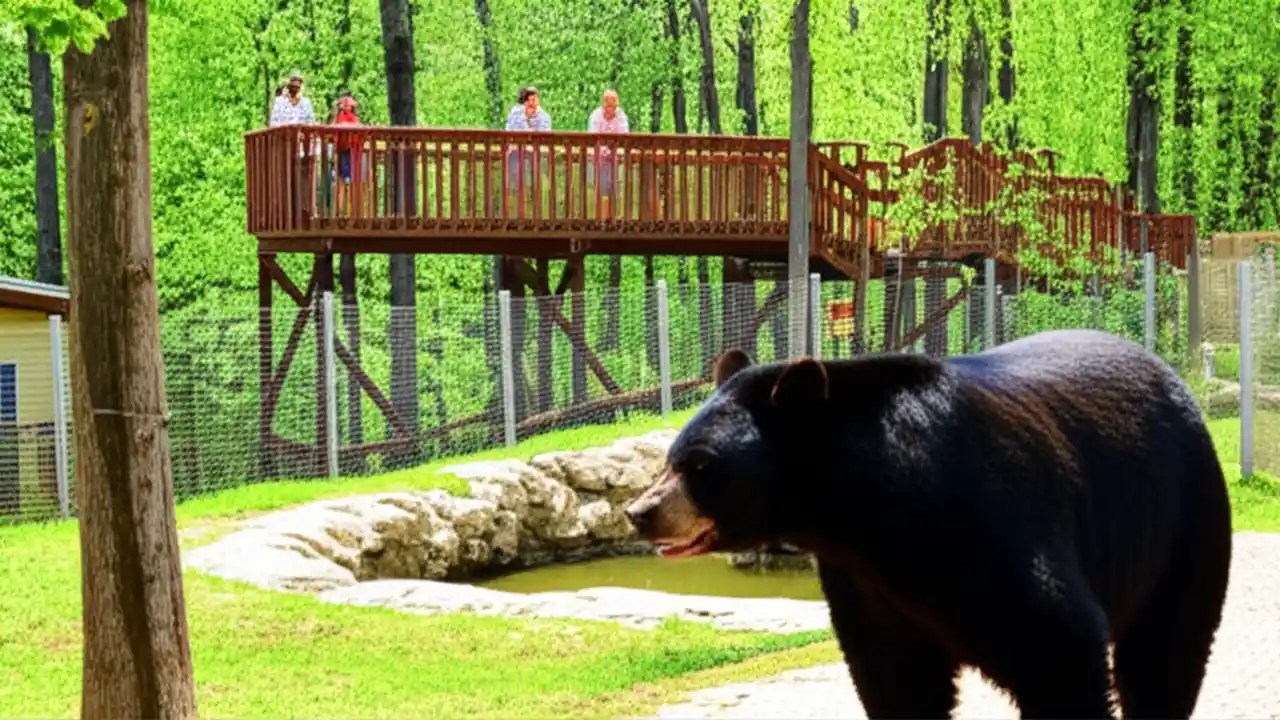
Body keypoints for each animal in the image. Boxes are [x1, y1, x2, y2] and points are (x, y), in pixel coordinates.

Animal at [626, 328, 1232, 719]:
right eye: (670, 457)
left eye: (702, 466)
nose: (639, 513)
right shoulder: (867, 585)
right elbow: (896, 677)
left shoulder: (997, 525)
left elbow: (1060, 642)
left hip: (1182, 521)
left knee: (1166, 652)